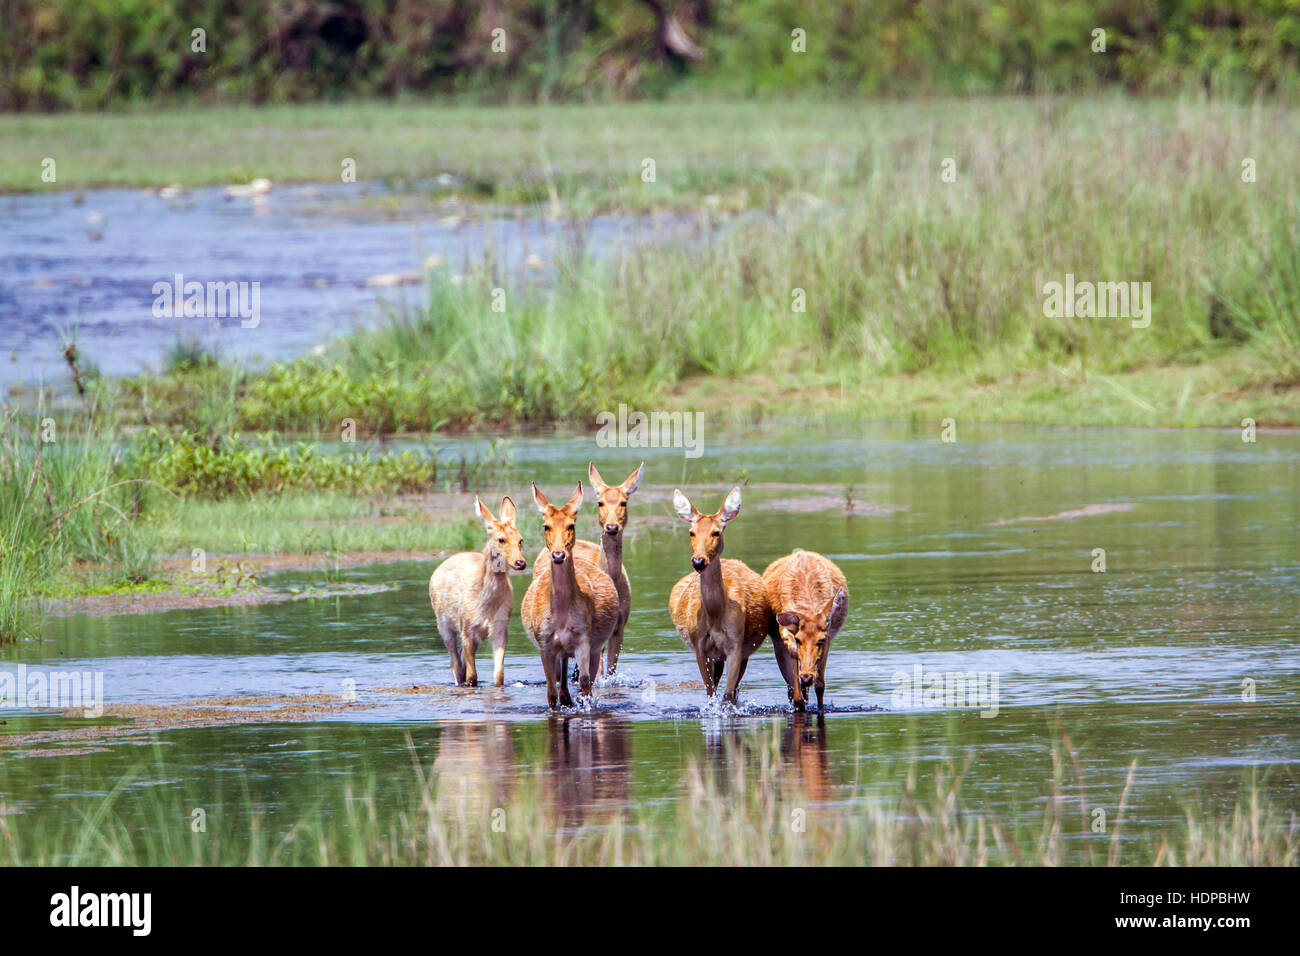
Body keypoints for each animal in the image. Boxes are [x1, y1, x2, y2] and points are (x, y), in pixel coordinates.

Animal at [428, 496, 529, 687]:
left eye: (521, 539)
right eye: (501, 539)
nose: (521, 563)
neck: (485, 606)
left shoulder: (500, 627)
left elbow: (499, 676)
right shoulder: (466, 627)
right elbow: (472, 677)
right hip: (443, 624)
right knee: (455, 663)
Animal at [522, 482, 620, 709]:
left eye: (571, 525)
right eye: (546, 526)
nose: (558, 555)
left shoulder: (584, 636)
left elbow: (584, 680)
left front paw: (586, 706)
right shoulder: (544, 642)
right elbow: (551, 692)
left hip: (594, 645)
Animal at [667, 487, 773, 704]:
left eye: (716, 532)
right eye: (691, 532)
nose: (698, 561)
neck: (715, 616)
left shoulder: (736, 644)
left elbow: (727, 695)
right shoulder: (700, 647)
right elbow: (711, 693)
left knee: (735, 689)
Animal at [762, 549, 848, 711]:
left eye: (821, 640)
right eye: (798, 639)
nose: (807, 677)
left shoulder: (828, 637)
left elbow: (820, 686)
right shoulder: (785, 632)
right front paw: (799, 700)